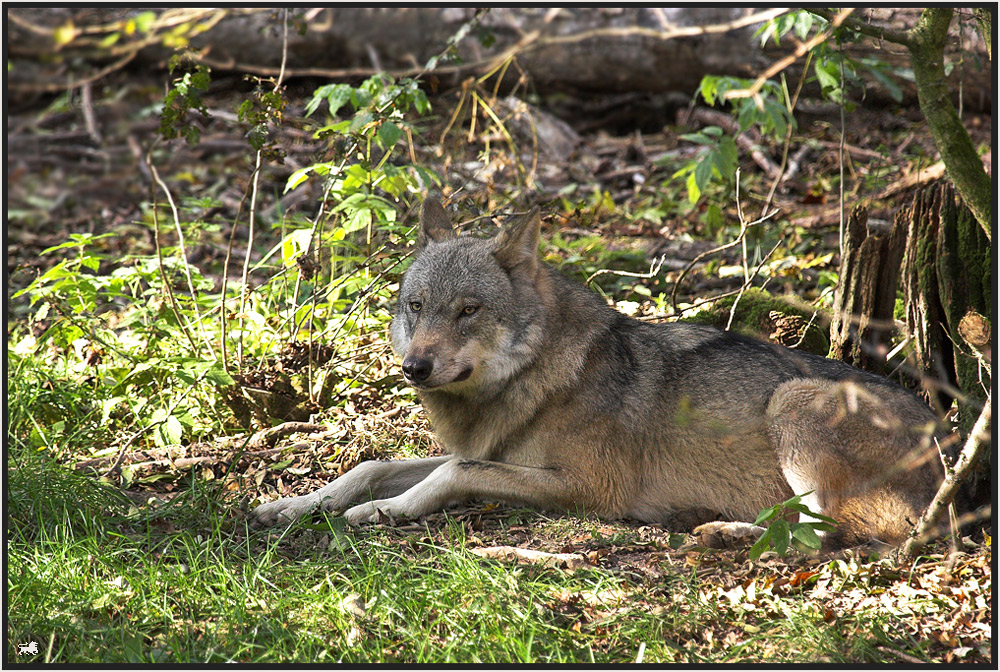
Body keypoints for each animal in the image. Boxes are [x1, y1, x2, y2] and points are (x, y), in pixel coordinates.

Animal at [252, 197, 944, 548]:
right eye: (416, 306)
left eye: (468, 310)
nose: (414, 366)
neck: (536, 379)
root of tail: (946, 442)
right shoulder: (494, 449)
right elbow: (370, 465)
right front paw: (292, 505)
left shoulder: (587, 487)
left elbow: (452, 471)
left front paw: (386, 512)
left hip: (793, 402)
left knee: (824, 531)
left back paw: (723, 532)